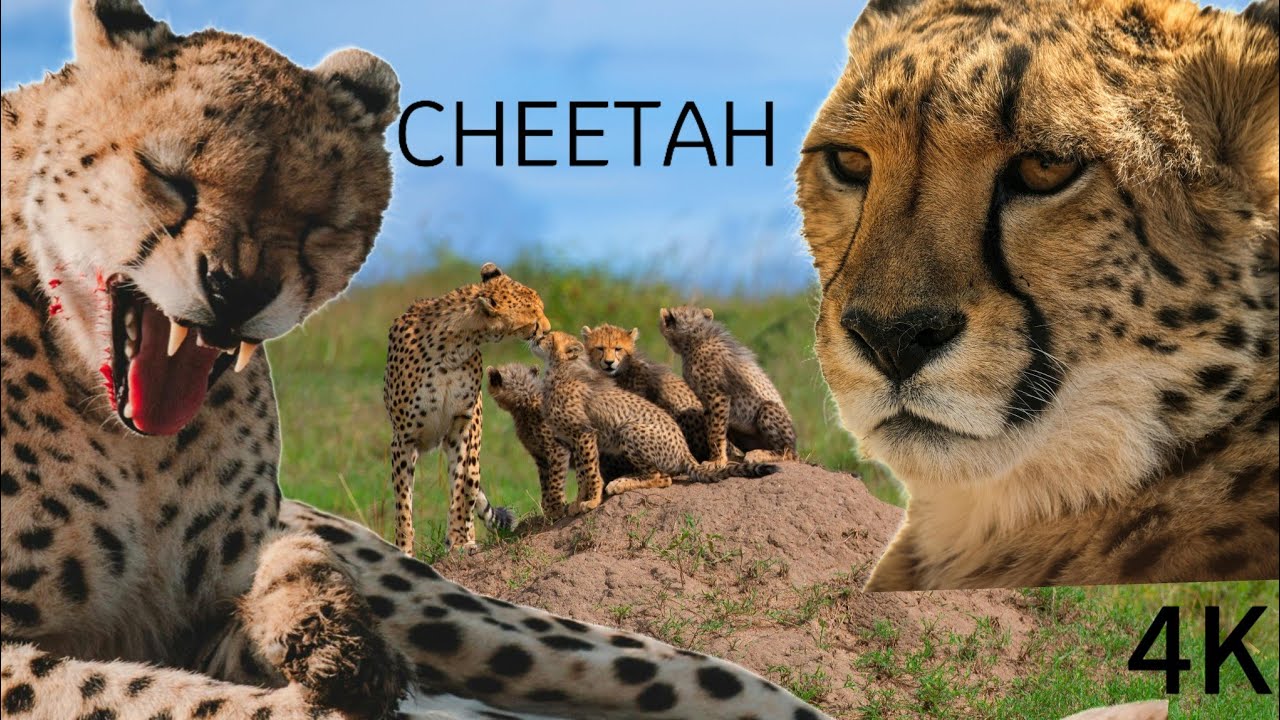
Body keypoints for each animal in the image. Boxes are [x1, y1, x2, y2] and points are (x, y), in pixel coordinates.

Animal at [383, 263, 549, 554]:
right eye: (534, 314)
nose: (548, 331)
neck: (453, 346)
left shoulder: (460, 426)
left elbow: (461, 489)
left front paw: (460, 541)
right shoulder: (404, 438)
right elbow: (403, 503)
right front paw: (403, 549)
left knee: (470, 485)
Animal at [485, 362, 635, 522]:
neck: (525, 399)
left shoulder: (557, 449)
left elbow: (555, 481)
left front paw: (556, 509)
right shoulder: (540, 456)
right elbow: (545, 483)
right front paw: (549, 509)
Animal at [657, 306, 799, 466]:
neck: (694, 337)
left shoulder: (718, 397)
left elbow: (715, 431)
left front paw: (717, 460)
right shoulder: (707, 402)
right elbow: (711, 428)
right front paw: (718, 457)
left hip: (768, 411)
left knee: (788, 453)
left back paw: (759, 454)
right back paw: (738, 457)